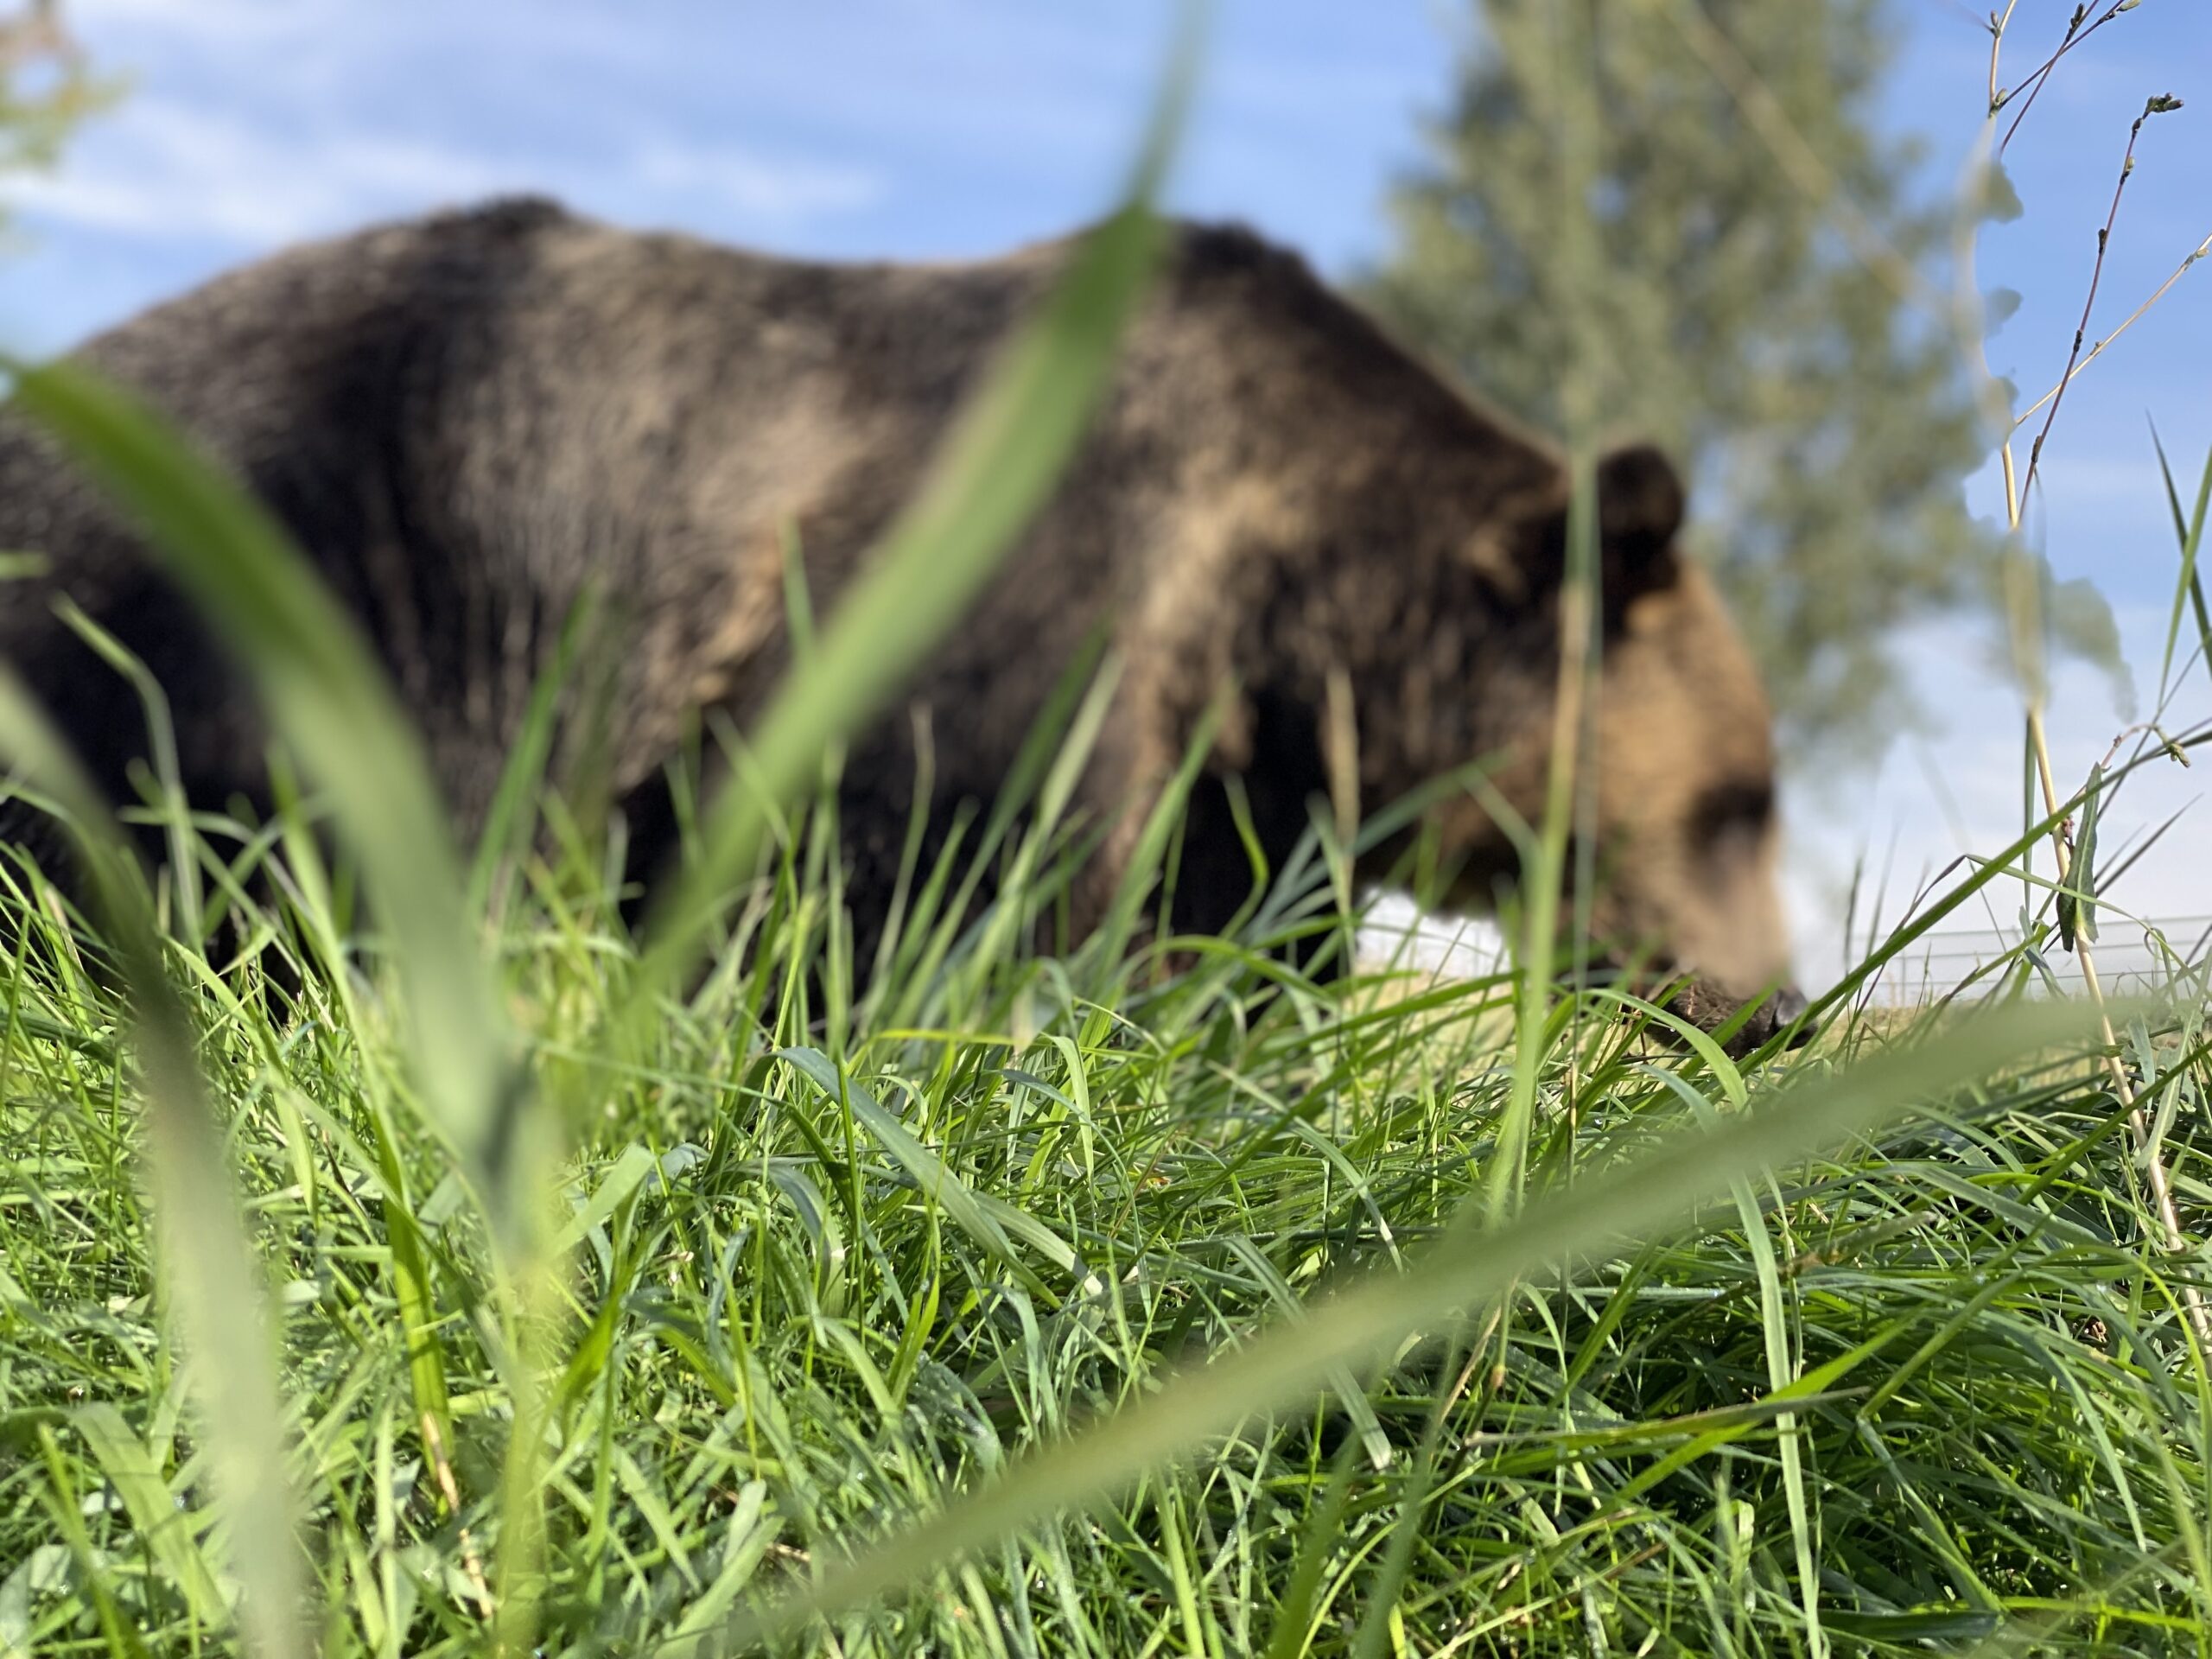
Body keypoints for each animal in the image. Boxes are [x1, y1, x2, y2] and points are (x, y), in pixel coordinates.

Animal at [0, 197, 1804, 1046]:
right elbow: (920, 895)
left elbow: (1228, 957)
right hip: (257, 578)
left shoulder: (1237, 773)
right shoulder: (997, 610)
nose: (1769, 1007)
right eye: (1742, 804)